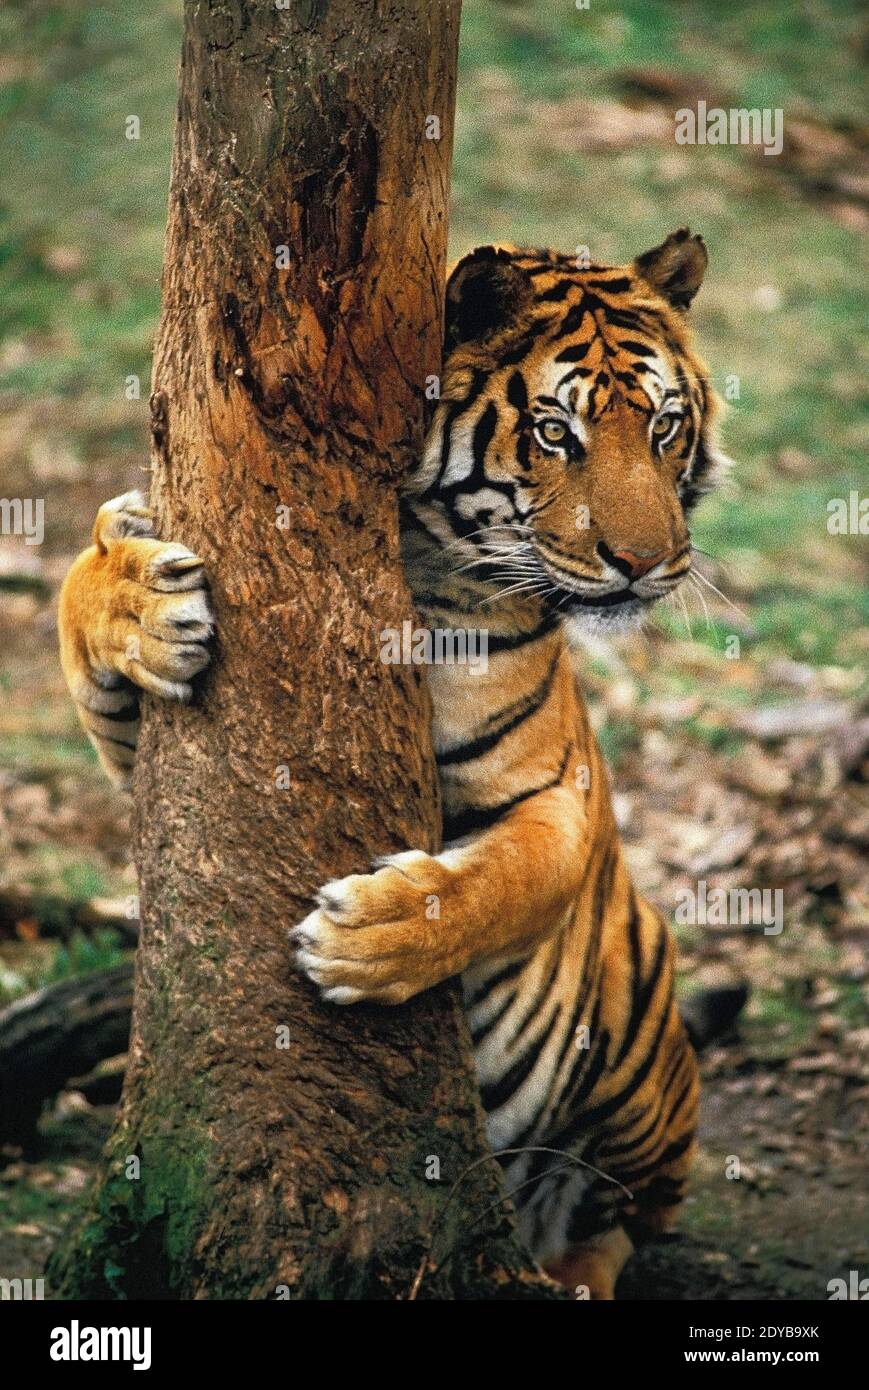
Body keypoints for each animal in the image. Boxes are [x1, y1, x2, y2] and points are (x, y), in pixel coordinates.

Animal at [59, 228, 734, 1298]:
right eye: (555, 434)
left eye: (665, 427)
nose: (647, 563)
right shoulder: (144, 758)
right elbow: (72, 596)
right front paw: (138, 596)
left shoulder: (560, 795)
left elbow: (509, 877)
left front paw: (362, 939)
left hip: (640, 1058)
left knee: (617, 1224)